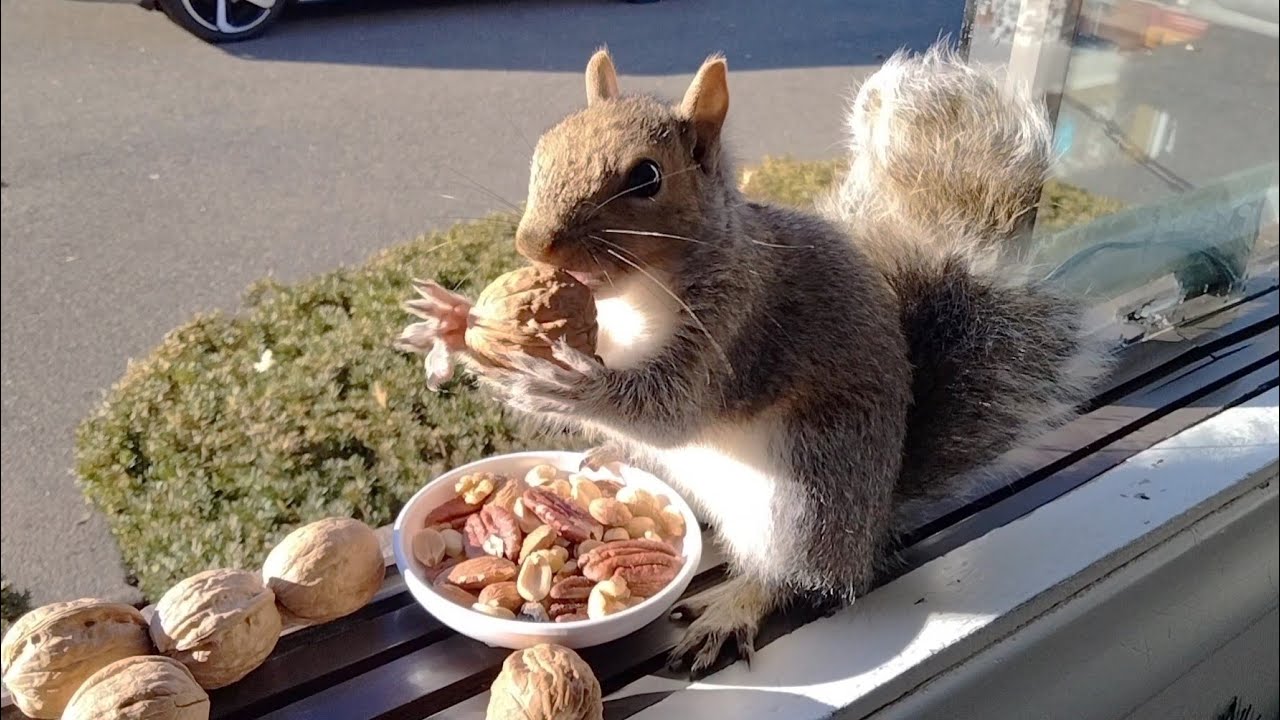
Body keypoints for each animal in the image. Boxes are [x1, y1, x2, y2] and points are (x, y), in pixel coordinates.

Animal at [398, 43, 1110, 677]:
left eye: (646, 177)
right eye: (545, 147)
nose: (533, 244)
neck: (637, 290)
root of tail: (869, 531)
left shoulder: (739, 328)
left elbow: (672, 408)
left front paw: (559, 382)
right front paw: (454, 322)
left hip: (810, 491)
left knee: (794, 576)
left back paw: (735, 604)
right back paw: (610, 456)